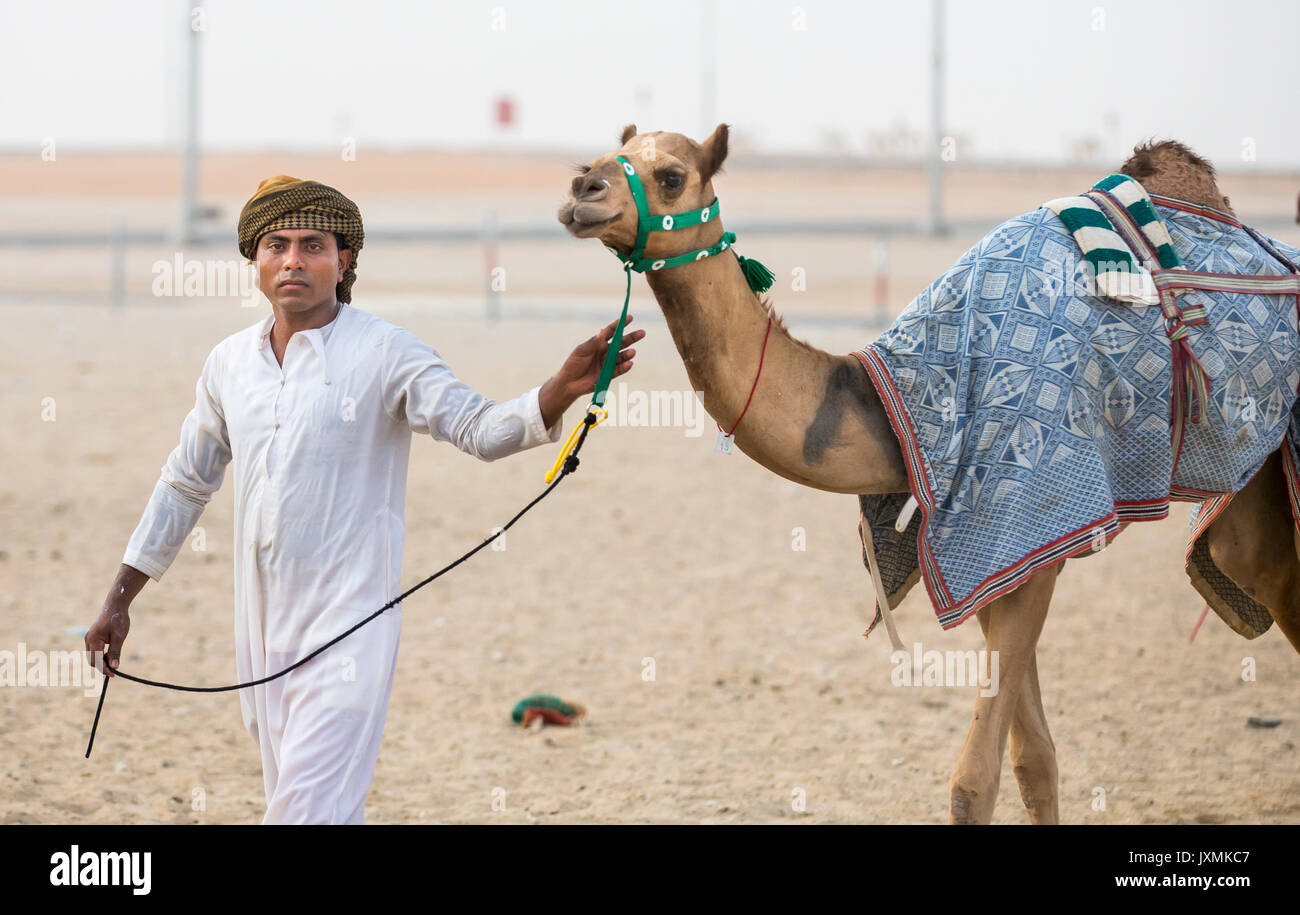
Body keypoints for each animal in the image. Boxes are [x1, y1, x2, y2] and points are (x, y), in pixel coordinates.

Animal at [557, 125, 1300, 823]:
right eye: (609, 154)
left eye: (671, 174)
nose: (581, 189)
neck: (913, 393)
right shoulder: (989, 553)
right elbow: (1035, 759)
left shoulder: (1029, 517)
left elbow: (975, 780)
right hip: (1255, 494)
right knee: (1260, 562)